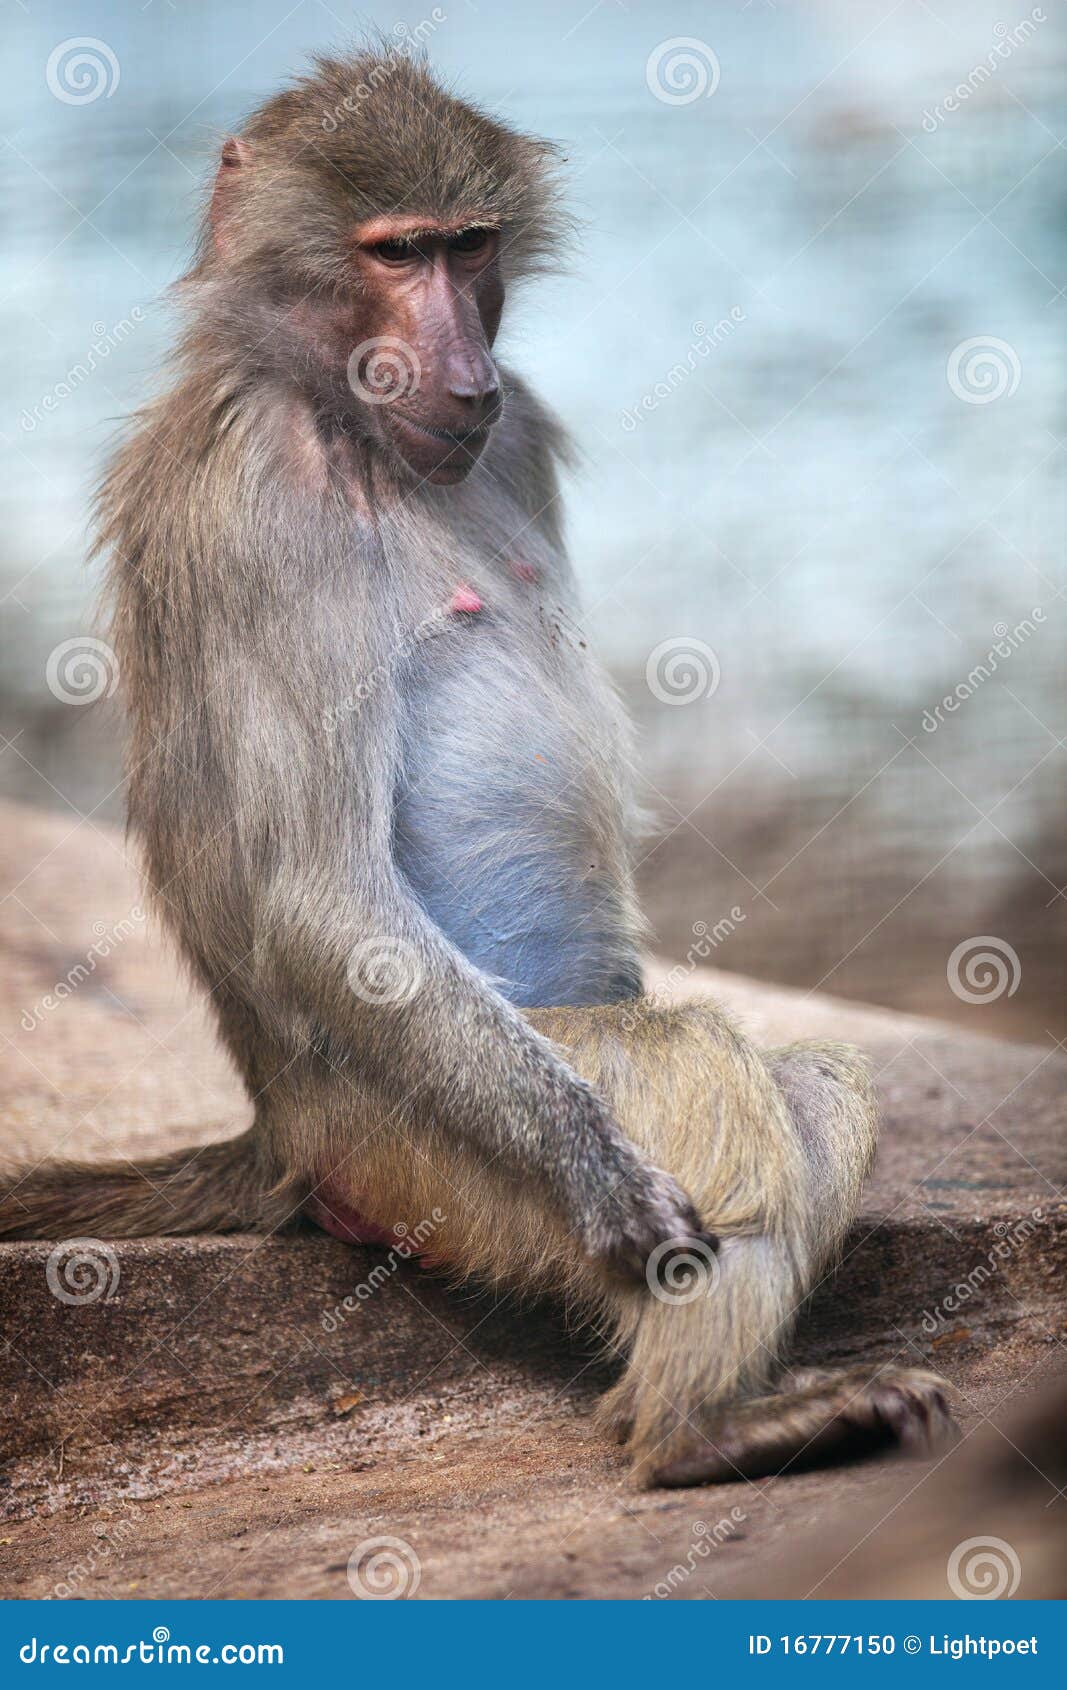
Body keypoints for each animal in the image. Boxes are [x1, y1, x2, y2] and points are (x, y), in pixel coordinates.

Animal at [0, 47, 956, 1487]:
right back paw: (691, 1431)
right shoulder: (261, 498)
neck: (330, 407)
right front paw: (605, 1184)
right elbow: (316, 893)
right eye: (394, 253)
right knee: (691, 1059)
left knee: (812, 1085)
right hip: (414, 1155)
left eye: (469, 247)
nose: (463, 373)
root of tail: (282, 1138)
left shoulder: (516, 435)